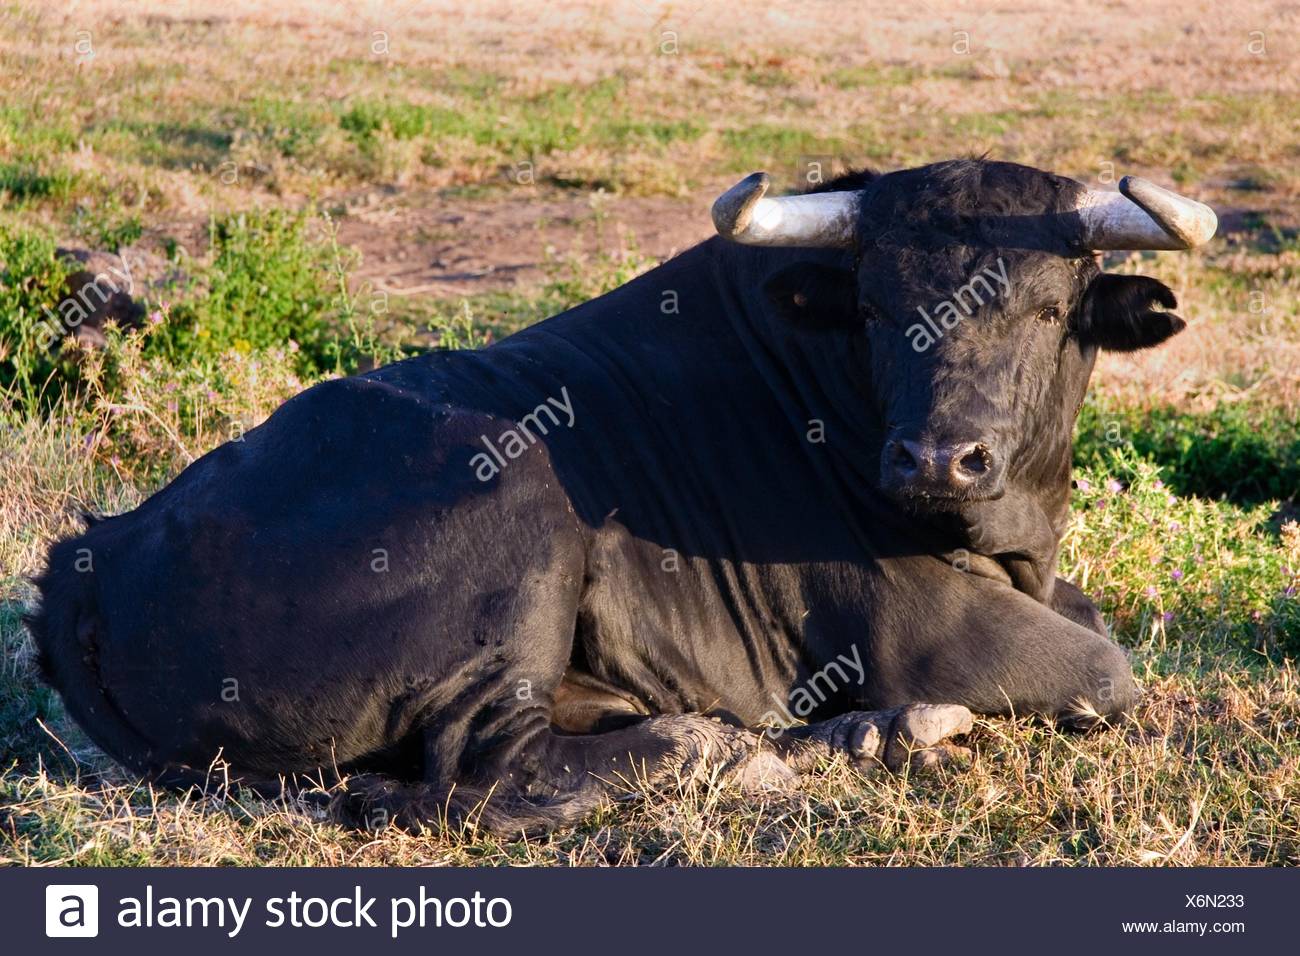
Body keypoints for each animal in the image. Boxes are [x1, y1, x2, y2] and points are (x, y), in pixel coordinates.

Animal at [28, 159, 1216, 835]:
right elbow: (1106, 671)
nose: (935, 459)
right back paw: (756, 754)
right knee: (474, 777)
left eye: (1048, 307)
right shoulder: (921, 631)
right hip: (517, 512)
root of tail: (98, 552)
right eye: (876, 305)